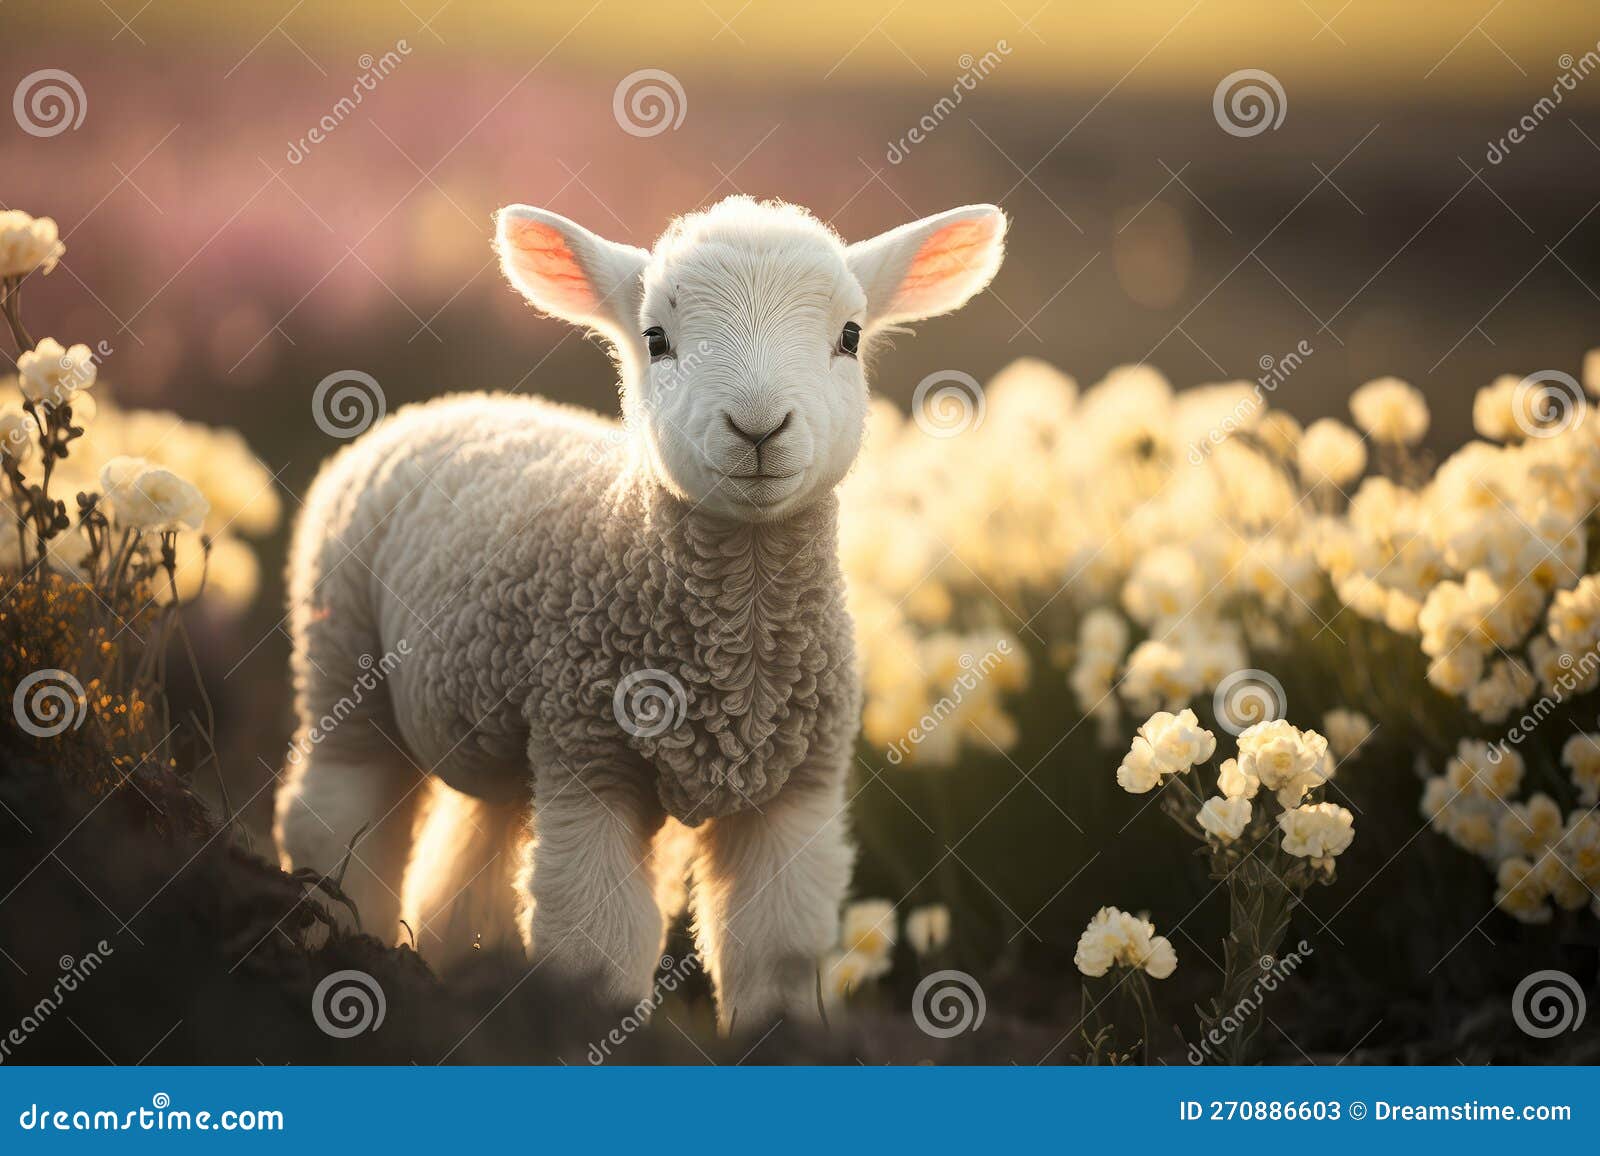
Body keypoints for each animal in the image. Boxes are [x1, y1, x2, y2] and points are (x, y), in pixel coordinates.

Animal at [273, 195, 1007, 1030]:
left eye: (850, 337)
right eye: (657, 338)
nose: (759, 428)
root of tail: (451, 402)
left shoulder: (797, 788)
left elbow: (775, 950)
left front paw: (778, 1037)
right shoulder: (591, 754)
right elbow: (598, 937)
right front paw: (584, 1028)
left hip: (507, 737)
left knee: (470, 862)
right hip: (341, 652)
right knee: (338, 809)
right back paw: (343, 943)